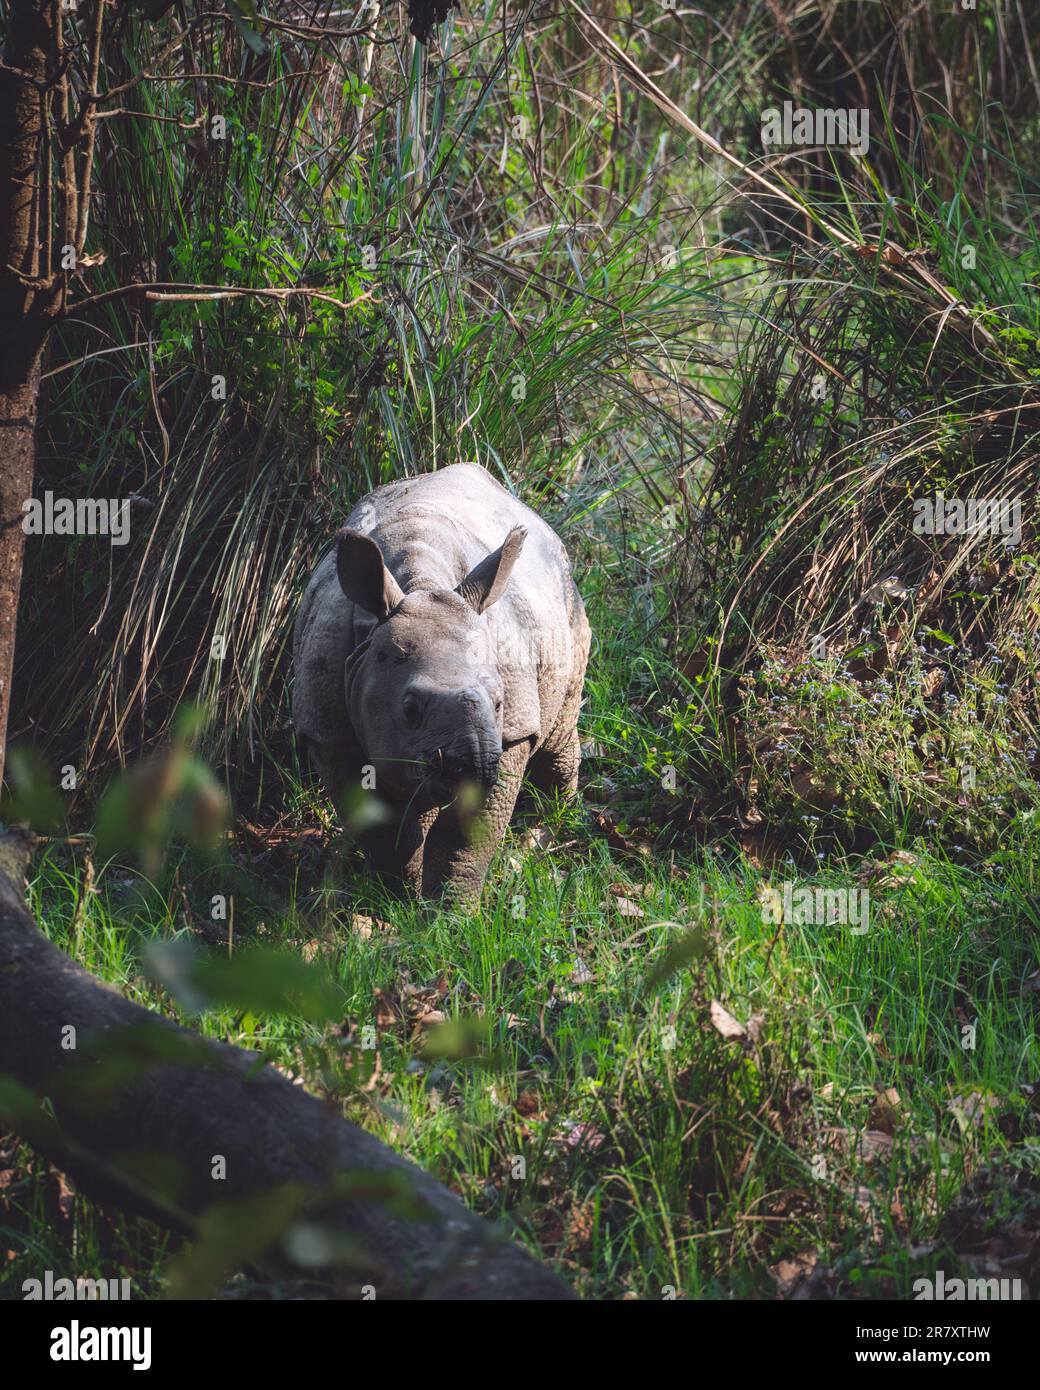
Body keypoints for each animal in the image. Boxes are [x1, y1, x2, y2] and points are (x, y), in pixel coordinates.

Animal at [293, 463, 590, 902]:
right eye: (409, 708)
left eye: (500, 703)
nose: (473, 767)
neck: (420, 583)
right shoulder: (327, 728)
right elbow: (382, 828)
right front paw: (397, 896)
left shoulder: (512, 733)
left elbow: (464, 838)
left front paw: (448, 910)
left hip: (568, 604)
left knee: (557, 732)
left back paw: (539, 842)